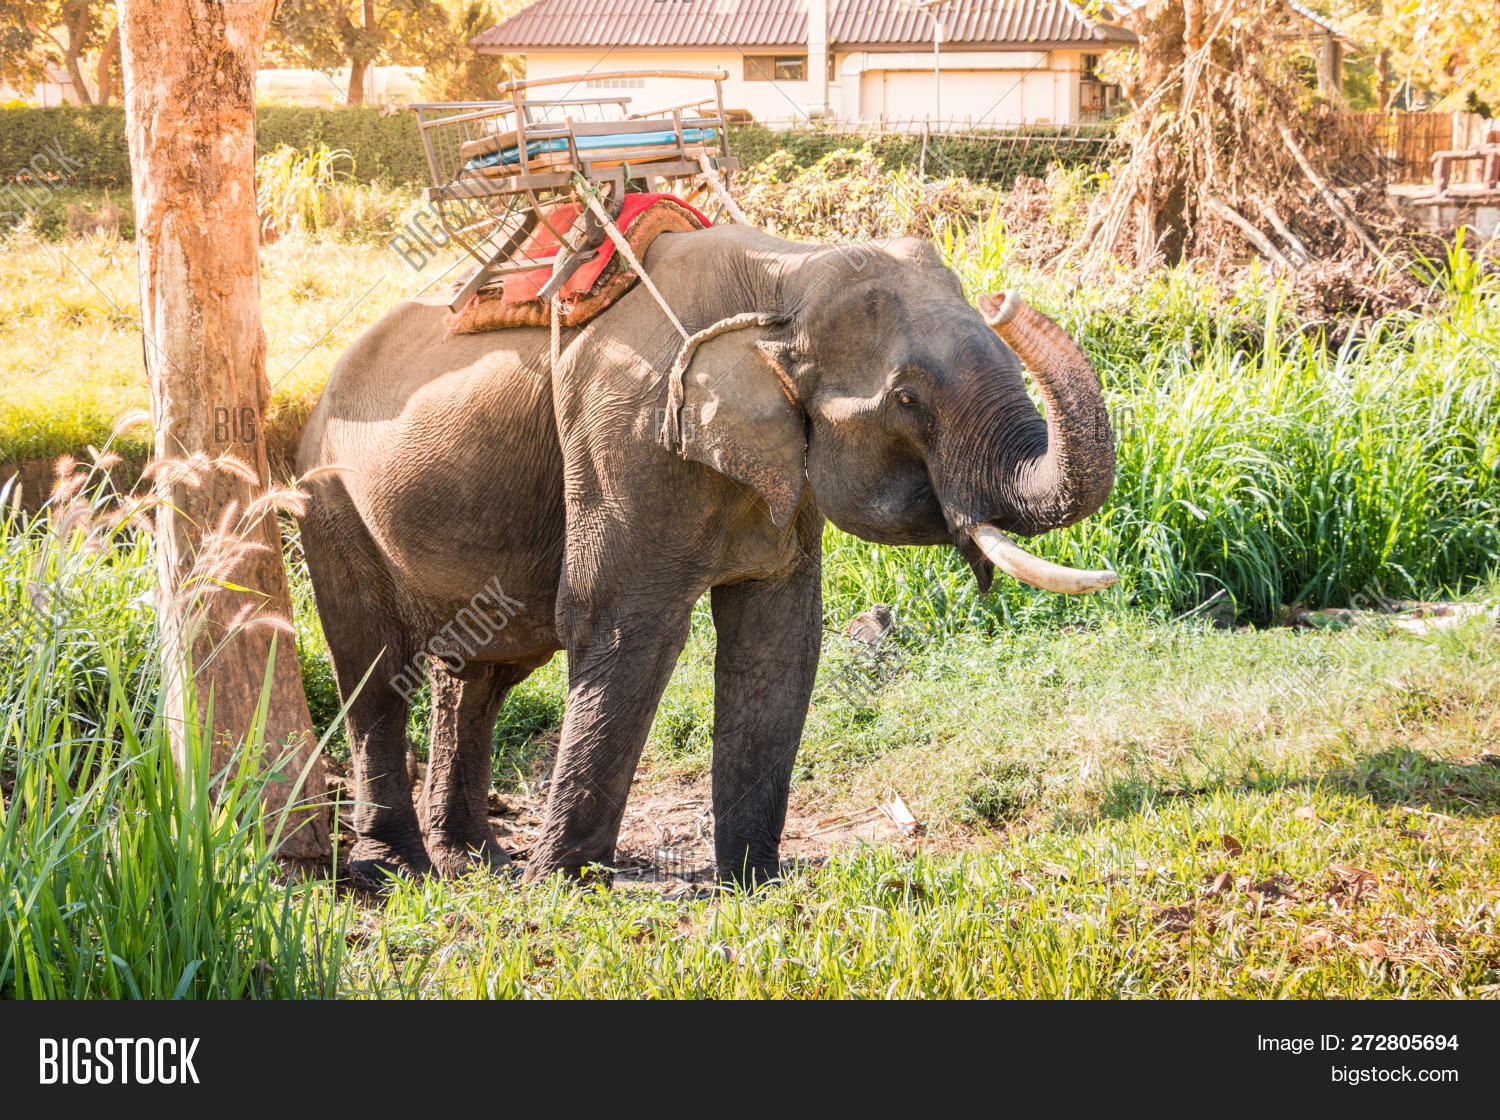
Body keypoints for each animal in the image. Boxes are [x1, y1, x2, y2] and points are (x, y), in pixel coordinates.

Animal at [296, 223, 1117, 888]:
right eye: (908, 399)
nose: (1005, 298)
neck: (787, 278)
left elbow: (777, 637)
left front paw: (754, 883)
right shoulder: (625, 436)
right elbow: (623, 627)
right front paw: (562, 888)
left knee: (477, 673)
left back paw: (475, 862)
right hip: (328, 504)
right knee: (375, 670)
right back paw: (401, 870)